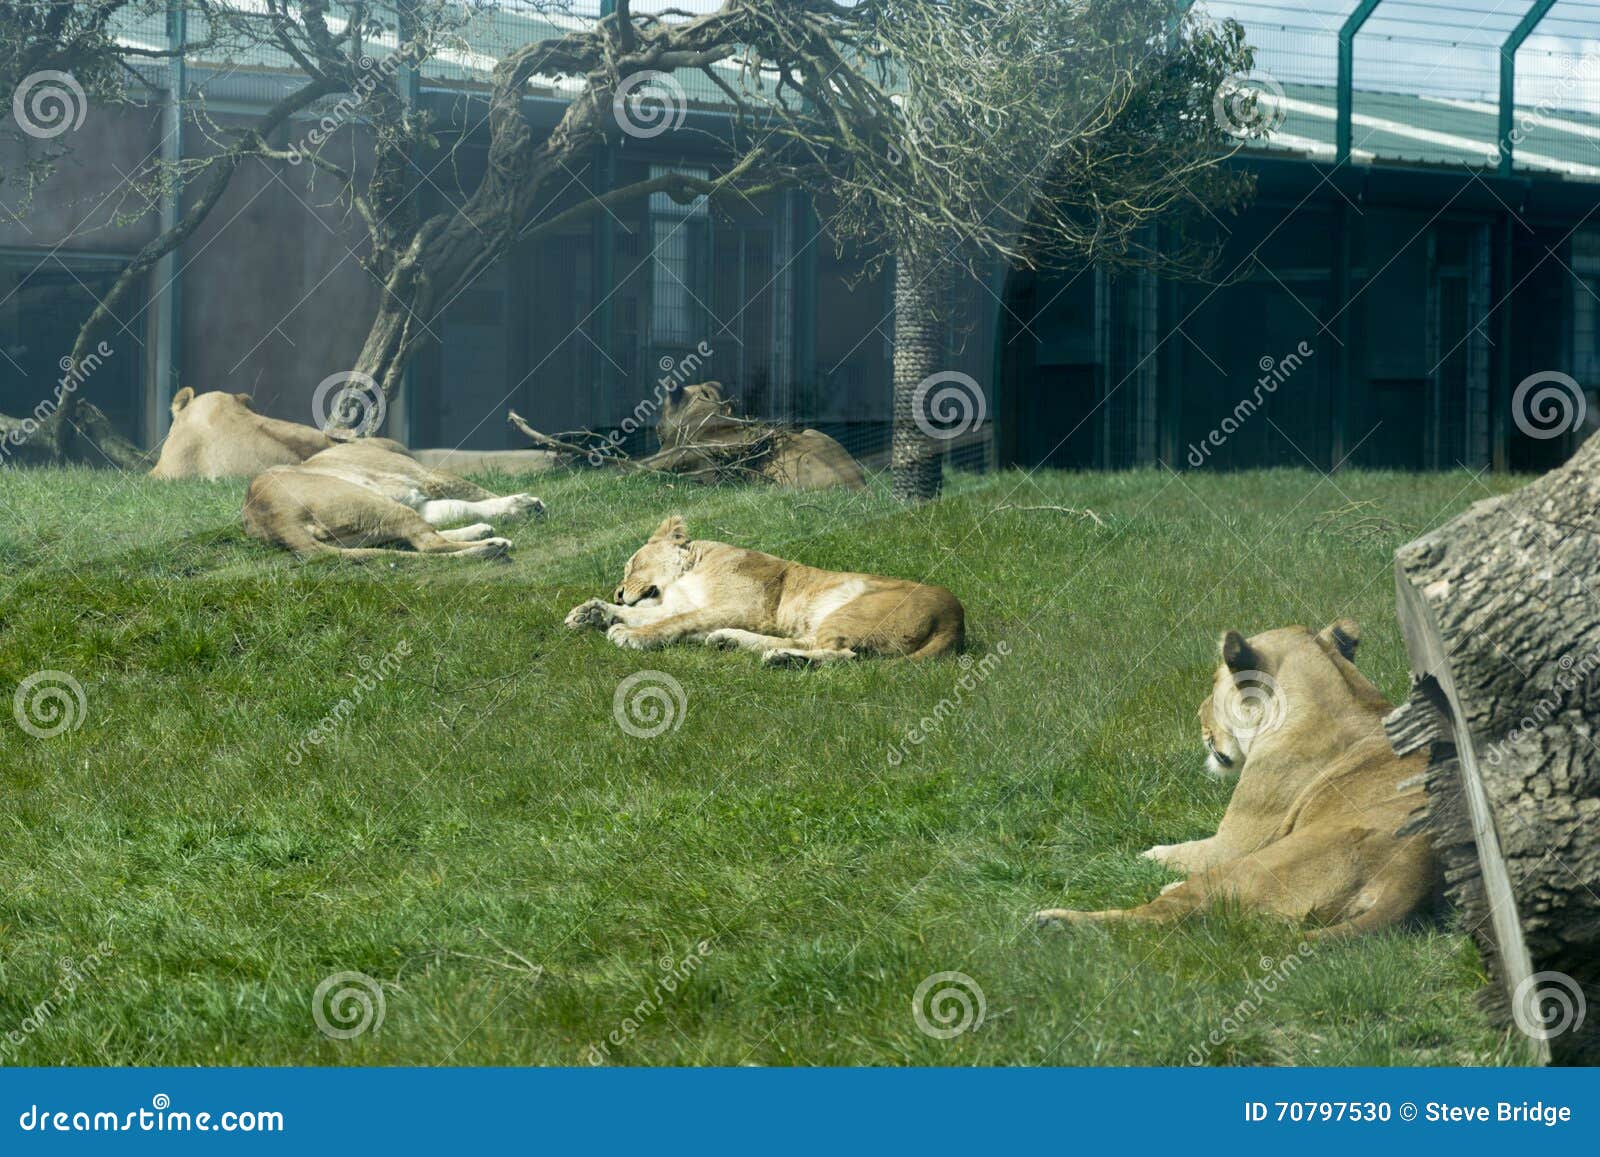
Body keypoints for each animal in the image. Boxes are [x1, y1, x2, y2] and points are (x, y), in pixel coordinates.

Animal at [243, 440, 545, 562]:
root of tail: (278, 522)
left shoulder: (419, 497)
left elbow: (459, 507)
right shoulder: (427, 477)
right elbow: (477, 493)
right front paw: (527, 504)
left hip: (372, 525)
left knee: (422, 537)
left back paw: (485, 533)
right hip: (377, 503)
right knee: (429, 544)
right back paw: (493, 546)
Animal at [564, 515, 963, 664]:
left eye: (631, 564)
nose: (617, 592)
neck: (688, 572)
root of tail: (954, 618)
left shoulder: (748, 607)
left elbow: (671, 622)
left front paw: (632, 636)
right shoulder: (684, 602)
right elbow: (655, 614)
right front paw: (592, 612)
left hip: (849, 613)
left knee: (842, 654)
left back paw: (782, 659)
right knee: (808, 642)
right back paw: (728, 640)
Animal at [1035, 620, 1437, 937]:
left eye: (1214, 682)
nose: (1197, 714)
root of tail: (1413, 869)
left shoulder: (1230, 845)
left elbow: (1155, 854)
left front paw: (1131, 856)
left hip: (1249, 864)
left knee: (1159, 915)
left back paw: (1054, 921)